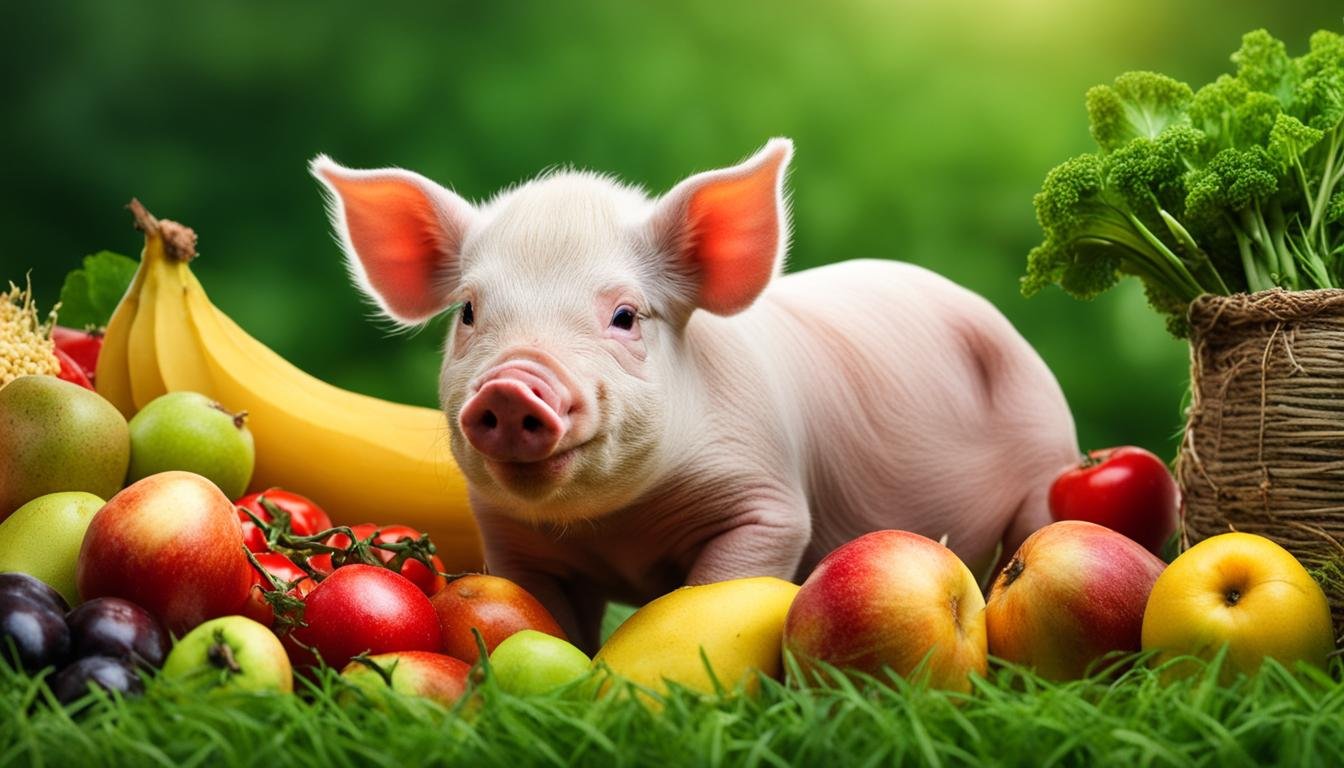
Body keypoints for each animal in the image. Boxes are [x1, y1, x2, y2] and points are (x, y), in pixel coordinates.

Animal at [311, 139, 1079, 651]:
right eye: (469, 312)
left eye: (625, 315)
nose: (512, 384)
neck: (617, 529)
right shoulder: (512, 539)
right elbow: (551, 619)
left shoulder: (768, 505)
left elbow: (714, 588)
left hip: (1046, 453)